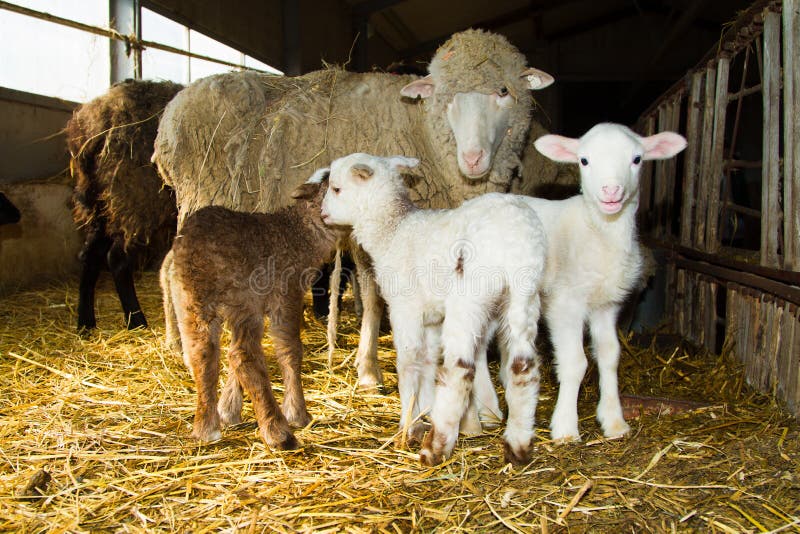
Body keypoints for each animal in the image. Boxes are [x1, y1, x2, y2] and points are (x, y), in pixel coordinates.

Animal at [66, 79, 182, 331]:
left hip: (105, 203)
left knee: (90, 255)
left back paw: (85, 323)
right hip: (135, 198)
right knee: (116, 258)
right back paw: (136, 320)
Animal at [153, 29, 565, 389]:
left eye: (504, 91)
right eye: (444, 96)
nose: (474, 158)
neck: (422, 132)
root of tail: (169, 117)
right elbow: (373, 298)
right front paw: (369, 370)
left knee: (169, 266)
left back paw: (176, 341)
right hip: (200, 198)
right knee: (176, 273)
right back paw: (187, 350)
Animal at [169, 177, 340, 448]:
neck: (299, 233)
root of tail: (194, 244)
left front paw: (228, 409)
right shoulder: (287, 293)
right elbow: (290, 350)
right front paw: (297, 413)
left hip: (189, 298)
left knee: (202, 354)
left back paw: (206, 426)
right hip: (244, 296)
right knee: (243, 355)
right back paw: (277, 431)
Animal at [318, 153, 547, 466]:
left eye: (337, 188)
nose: (323, 214)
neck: (393, 230)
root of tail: (516, 238)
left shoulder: (405, 308)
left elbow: (408, 363)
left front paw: (409, 426)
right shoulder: (432, 320)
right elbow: (426, 362)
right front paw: (427, 412)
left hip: (469, 297)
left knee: (460, 369)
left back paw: (435, 448)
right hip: (524, 297)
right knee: (523, 366)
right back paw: (518, 447)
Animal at [473, 123, 687, 443]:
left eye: (637, 159)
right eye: (584, 161)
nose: (611, 191)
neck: (598, 230)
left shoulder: (606, 305)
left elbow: (610, 356)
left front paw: (614, 422)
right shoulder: (566, 304)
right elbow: (576, 363)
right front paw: (565, 428)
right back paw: (487, 409)